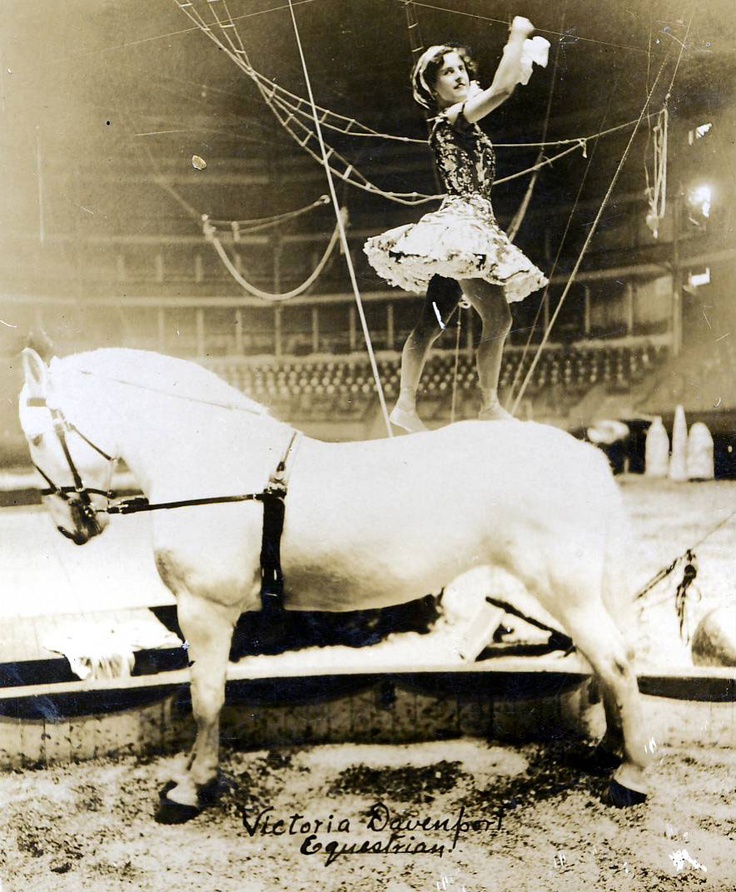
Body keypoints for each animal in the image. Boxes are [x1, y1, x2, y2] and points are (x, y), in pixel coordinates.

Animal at [18, 346, 654, 821]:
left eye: (37, 437)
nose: (72, 526)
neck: (216, 464)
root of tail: (582, 454)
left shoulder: (204, 610)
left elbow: (206, 699)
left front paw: (191, 789)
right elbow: (209, 696)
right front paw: (199, 779)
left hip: (562, 589)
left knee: (616, 662)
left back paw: (629, 776)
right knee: (606, 663)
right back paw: (607, 752)